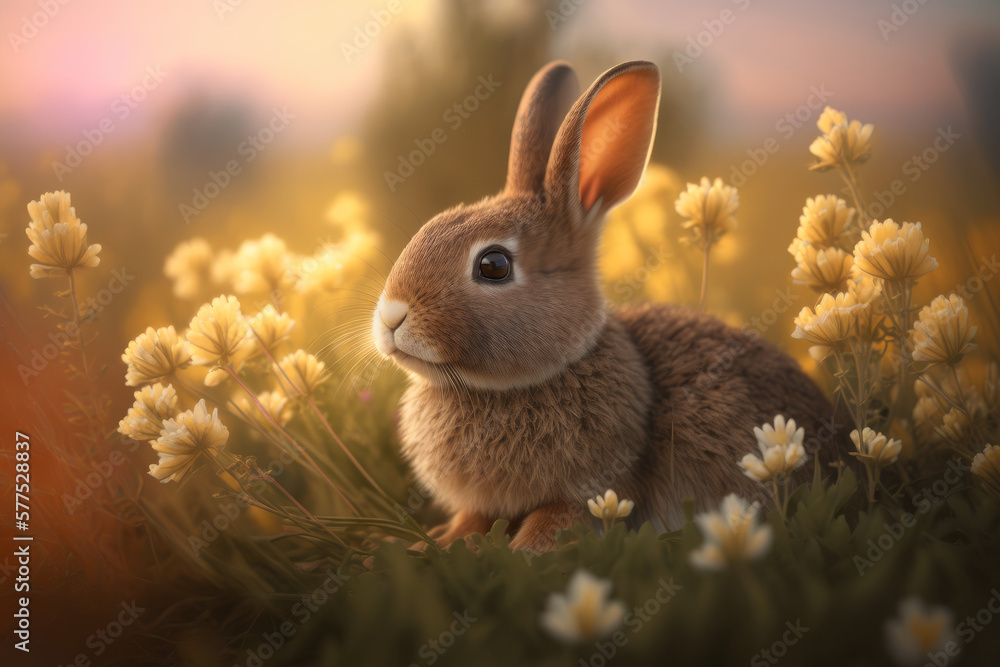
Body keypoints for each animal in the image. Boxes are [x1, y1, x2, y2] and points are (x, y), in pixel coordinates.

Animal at [372, 60, 843, 553]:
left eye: (494, 265)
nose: (390, 316)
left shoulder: (596, 493)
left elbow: (548, 528)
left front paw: (514, 551)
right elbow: (466, 526)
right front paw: (415, 546)